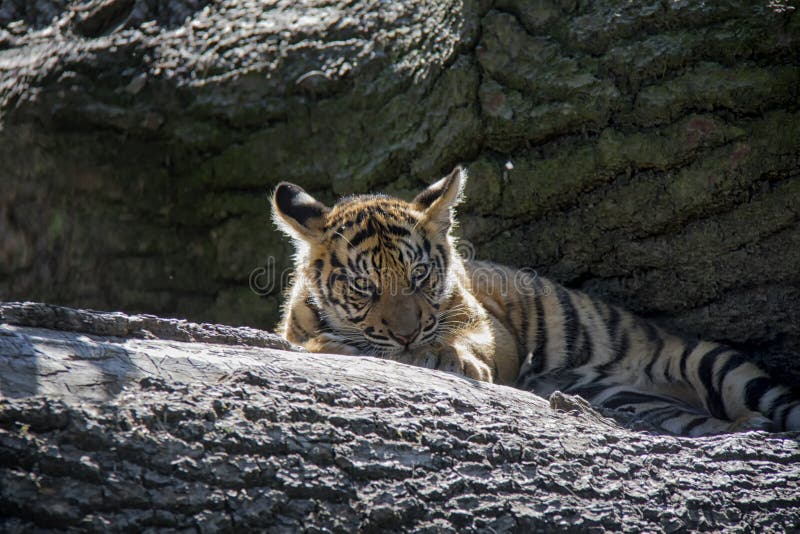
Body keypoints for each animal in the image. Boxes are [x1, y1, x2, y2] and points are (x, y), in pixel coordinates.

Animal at [271, 166, 800, 436]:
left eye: (420, 276)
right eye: (365, 286)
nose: (406, 335)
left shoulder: (490, 326)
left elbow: (469, 342)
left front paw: (449, 357)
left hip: (719, 365)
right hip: (633, 400)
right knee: (700, 423)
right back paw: (743, 426)